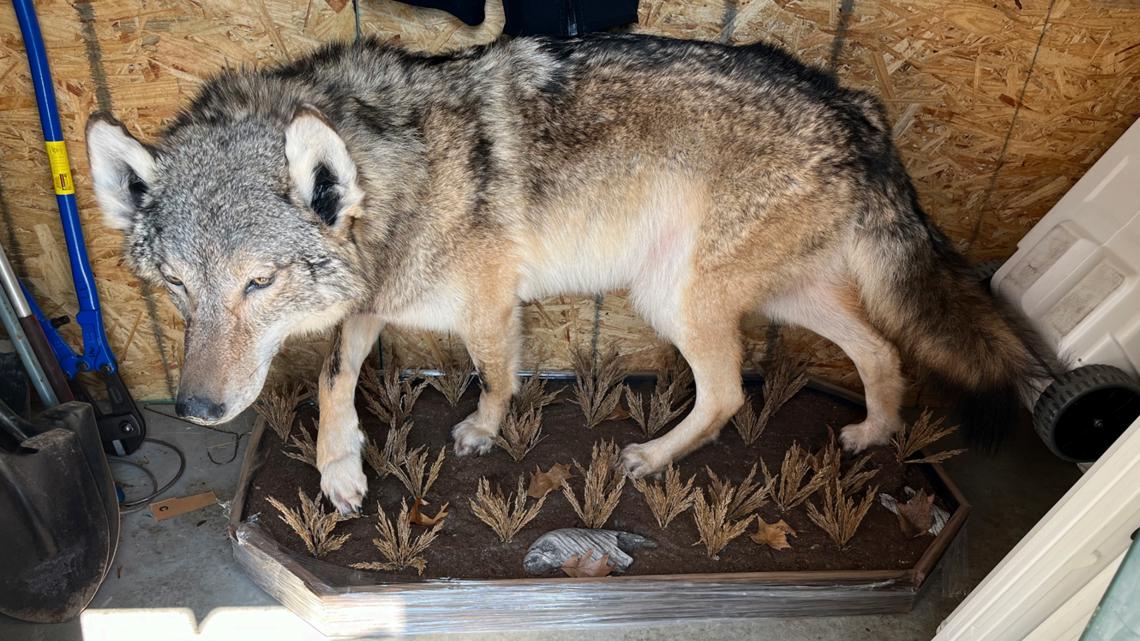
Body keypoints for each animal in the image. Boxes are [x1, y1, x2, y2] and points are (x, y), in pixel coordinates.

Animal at [87, 34, 1047, 514]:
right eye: (178, 288)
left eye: (259, 283)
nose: (198, 409)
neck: (395, 169)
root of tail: (859, 109)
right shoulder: (375, 296)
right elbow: (331, 382)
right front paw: (339, 473)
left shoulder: (483, 301)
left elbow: (495, 373)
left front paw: (482, 431)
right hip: (769, 293)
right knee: (880, 353)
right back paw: (874, 433)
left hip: (677, 300)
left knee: (731, 393)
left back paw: (654, 457)